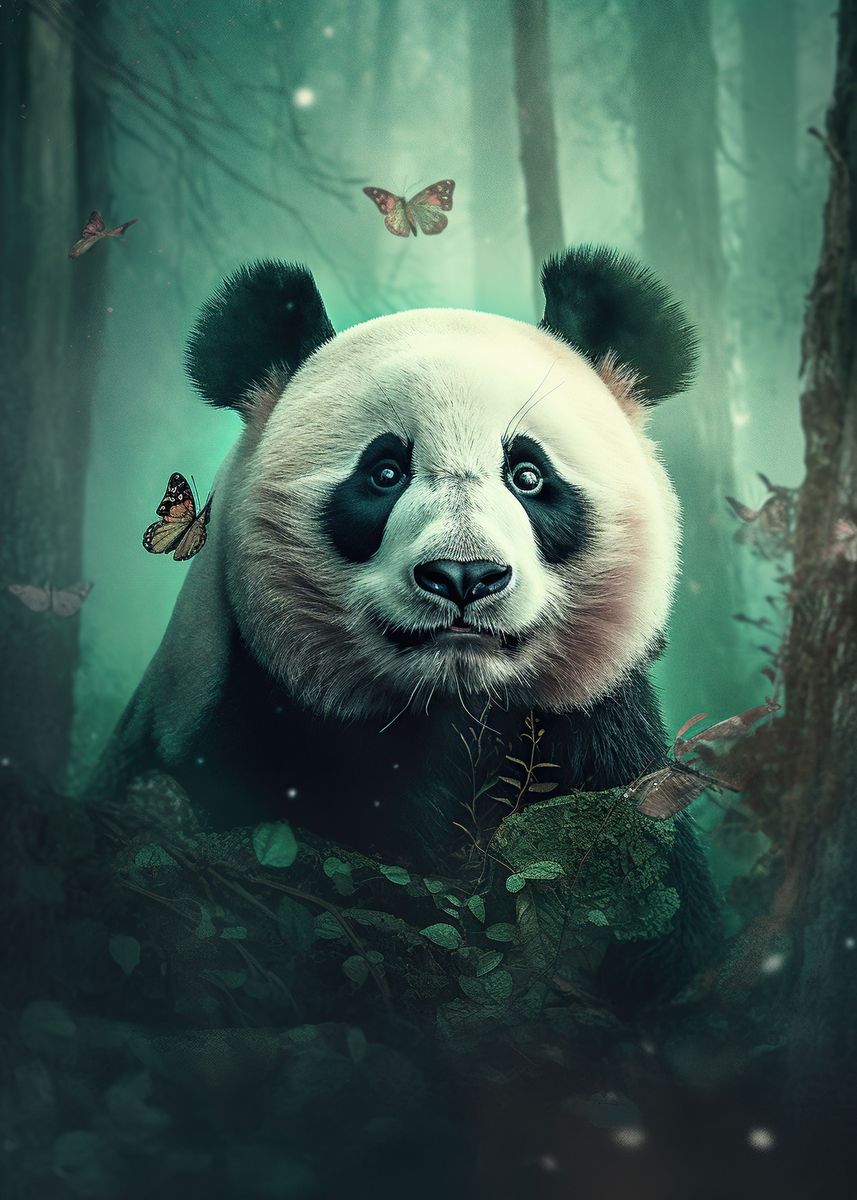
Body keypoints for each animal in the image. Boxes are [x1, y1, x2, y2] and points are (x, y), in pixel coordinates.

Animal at [106, 245, 716, 958]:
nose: (464, 575)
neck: (452, 705)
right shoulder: (237, 725)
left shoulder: (602, 752)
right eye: (385, 473)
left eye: (528, 475)